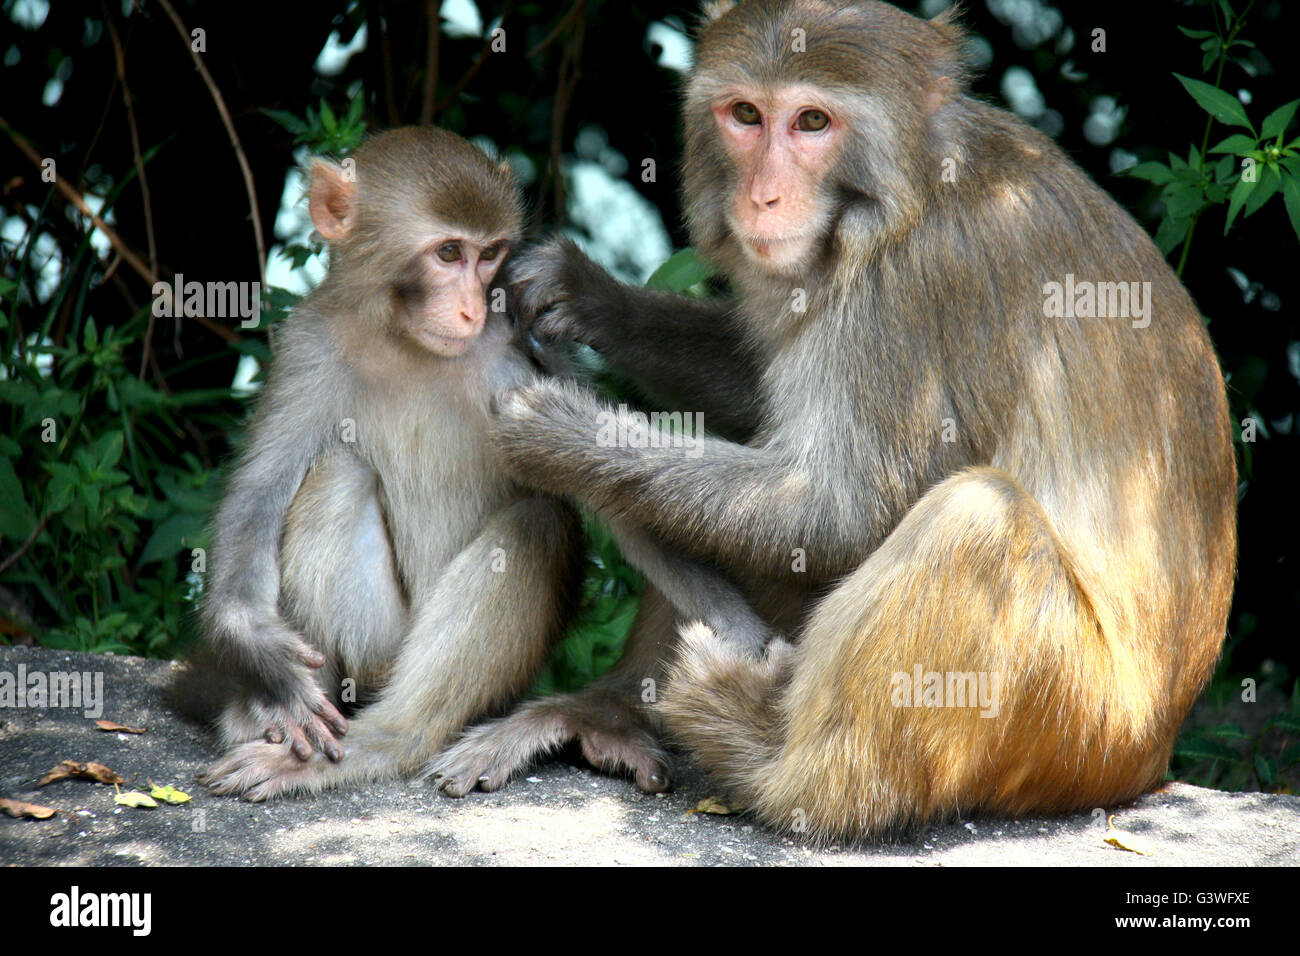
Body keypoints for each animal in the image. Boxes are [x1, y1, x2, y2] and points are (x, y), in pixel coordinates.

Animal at [192, 126, 590, 801]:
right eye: (448, 253)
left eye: (490, 255)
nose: (472, 309)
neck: (404, 339)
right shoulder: (308, 342)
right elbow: (261, 488)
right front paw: (259, 650)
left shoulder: (514, 359)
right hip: (380, 649)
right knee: (338, 470)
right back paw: (273, 712)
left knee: (538, 522)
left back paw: (383, 742)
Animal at [429, 0, 1238, 843]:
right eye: (746, 115)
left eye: (812, 121)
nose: (762, 197)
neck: (913, 188)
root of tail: (1149, 762)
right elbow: (760, 398)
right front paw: (584, 294)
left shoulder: (908, 287)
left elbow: (842, 507)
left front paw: (561, 435)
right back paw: (605, 714)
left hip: (1074, 726)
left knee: (977, 518)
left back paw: (773, 764)